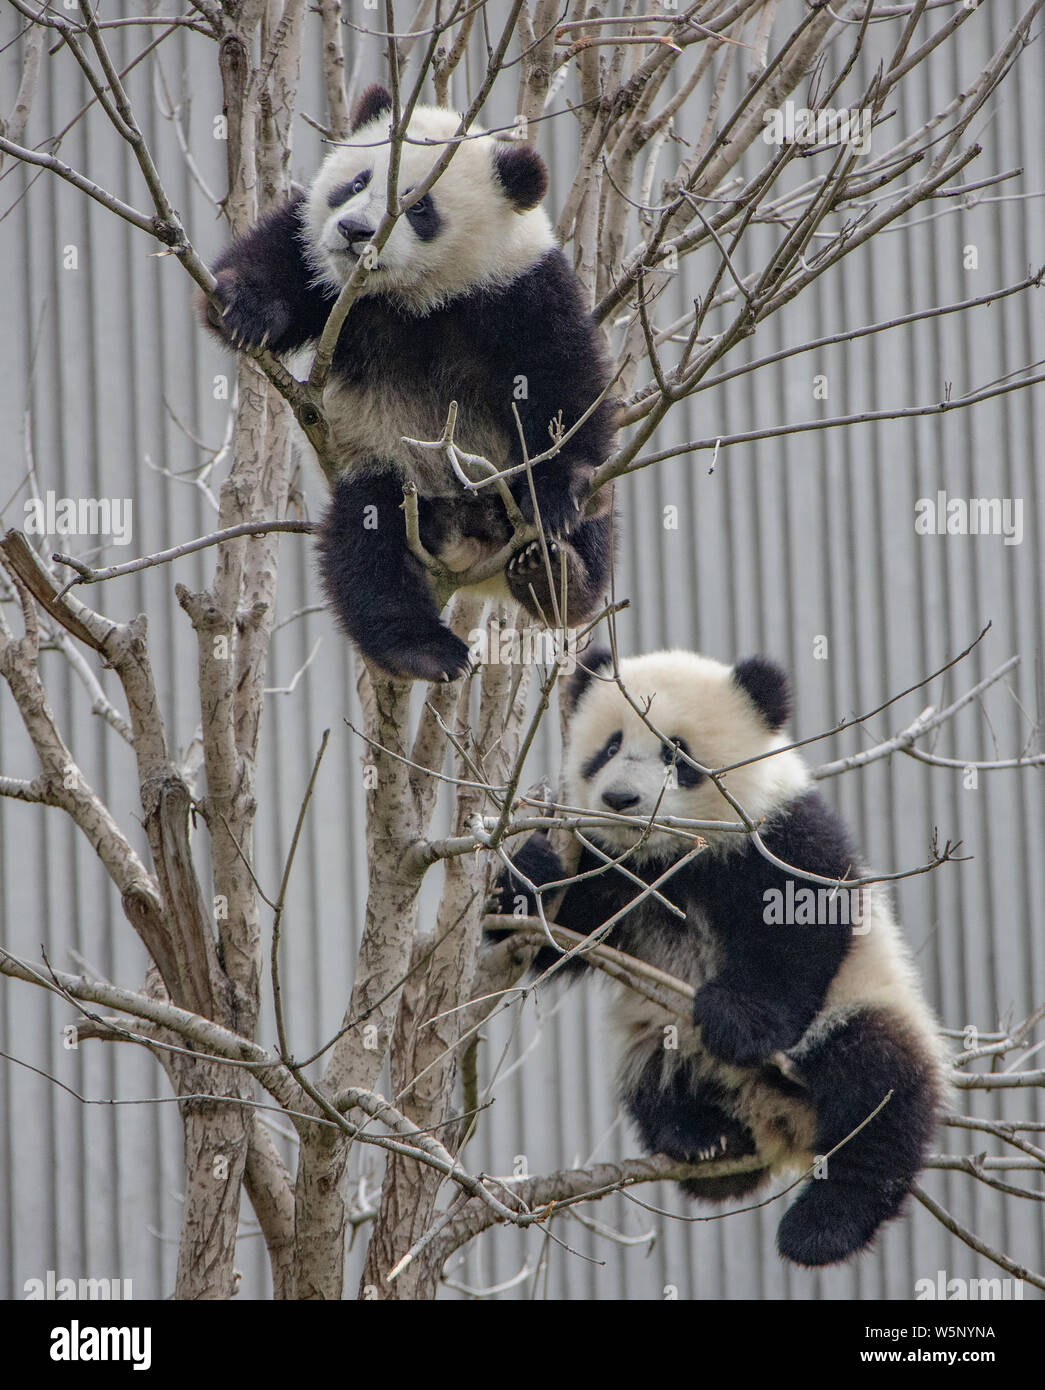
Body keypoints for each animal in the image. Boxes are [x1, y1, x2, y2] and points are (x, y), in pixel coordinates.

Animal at [199, 85, 615, 682]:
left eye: (419, 206)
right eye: (357, 182)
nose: (355, 232)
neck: (418, 295)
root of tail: (471, 554)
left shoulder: (522, 288)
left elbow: (565, 386)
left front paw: (554, 495)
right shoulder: (318, 257)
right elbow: (276, 262)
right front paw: (245, 308)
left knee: (596, 534)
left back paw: (556, 576)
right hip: (390, 472)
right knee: (369, 548)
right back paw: (423, 649)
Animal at [490, 648, 947, 1267]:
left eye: (676, 752)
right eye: (608, 747)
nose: (621, 800)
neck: (672, 856)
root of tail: (778, 1125)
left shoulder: (778, 833)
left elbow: (801, 929)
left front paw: (737, 1018)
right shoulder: (610, 866)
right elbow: (557, 935)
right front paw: (527, 875)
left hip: (863, 1003)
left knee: (877, 1090)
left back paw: (823, 1227)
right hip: (657, 1032)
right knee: (654, 1071)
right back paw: (701, 1138)